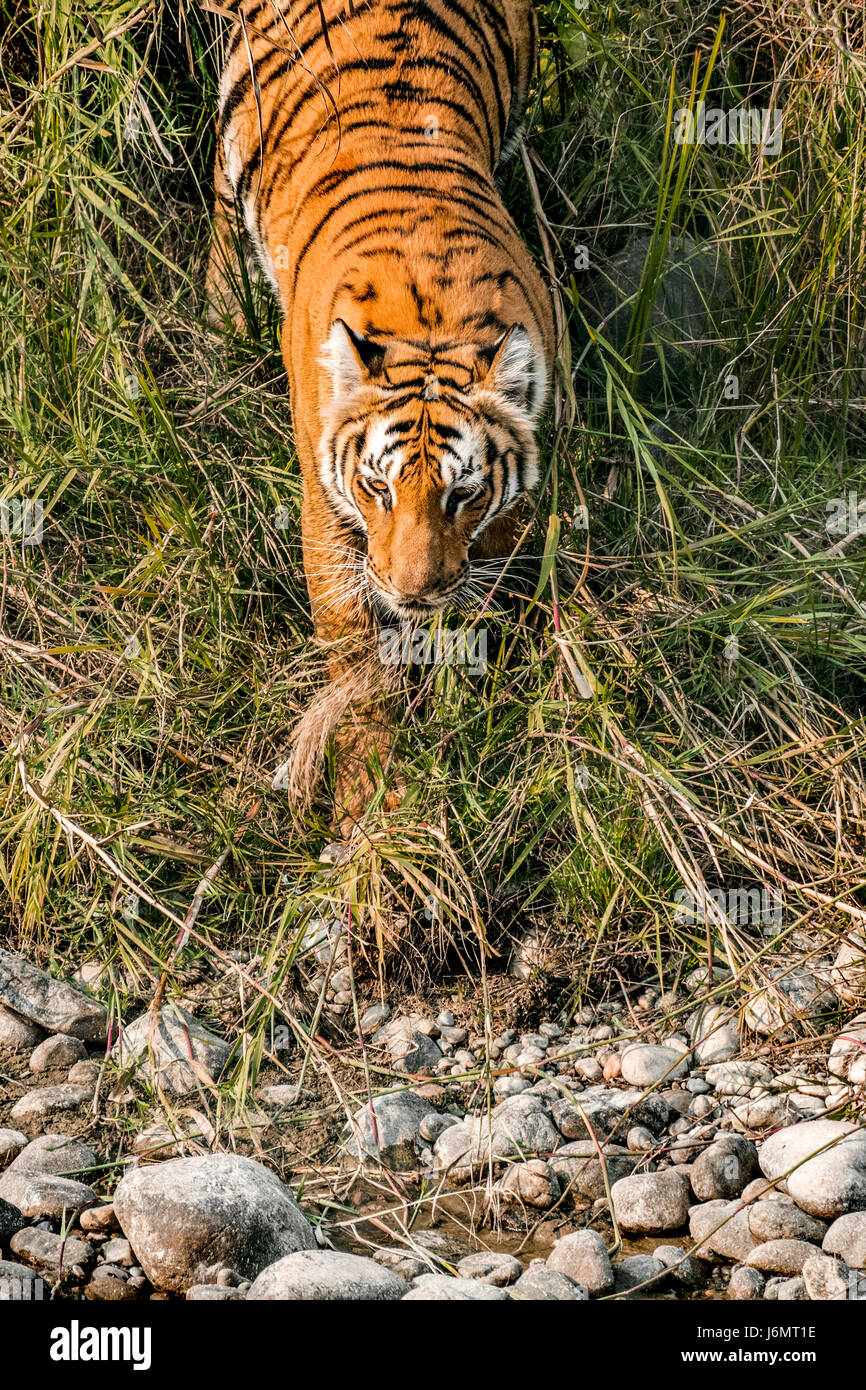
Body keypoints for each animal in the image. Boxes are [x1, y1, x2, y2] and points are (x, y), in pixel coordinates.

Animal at [207, 0, 555, 831]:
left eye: (464, 493)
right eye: (378, 488)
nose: (413, 591)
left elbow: (490, 581)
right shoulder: (327, 509)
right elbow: (356, 658)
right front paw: (370, 800)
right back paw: (217, 313)